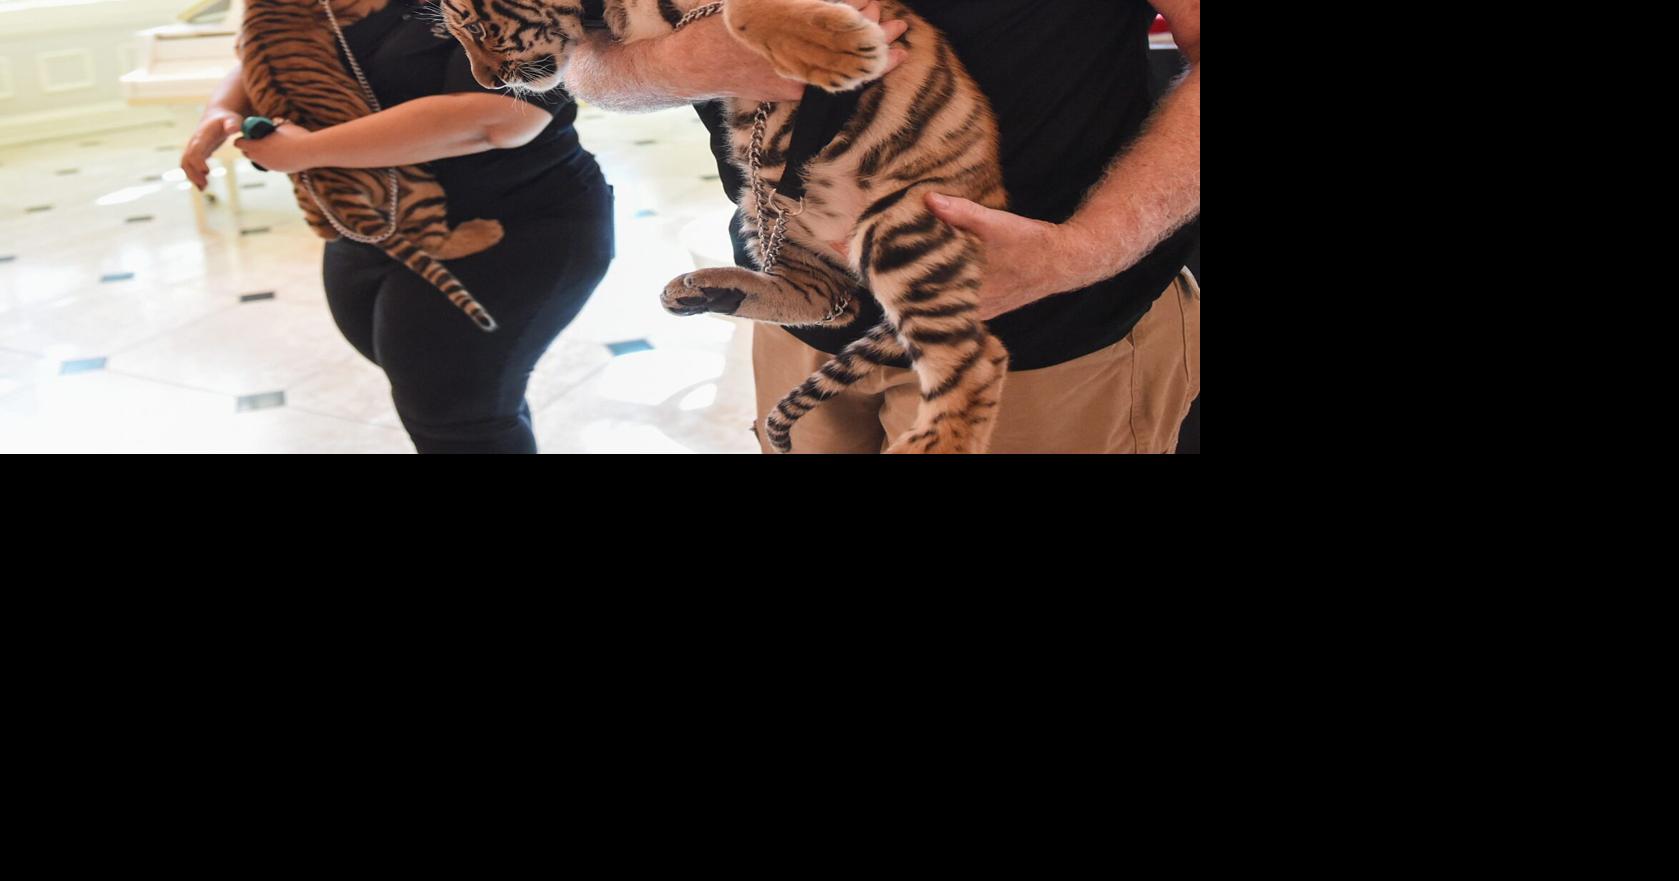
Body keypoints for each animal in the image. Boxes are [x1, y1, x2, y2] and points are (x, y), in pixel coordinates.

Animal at [239, 0, 507, 332]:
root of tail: (333, 186)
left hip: (309, 198)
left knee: (323, 228)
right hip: (415, 176)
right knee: (434, 242)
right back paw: (487, 230)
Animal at [439, 0, 1009, 453]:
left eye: (478, 28)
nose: (488, 83)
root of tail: (992, 191)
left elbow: (741, 9)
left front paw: (839, 47)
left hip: (898, 223)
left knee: (982, 357)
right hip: (761, 206)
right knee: (827, 296)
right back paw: (703, 291)